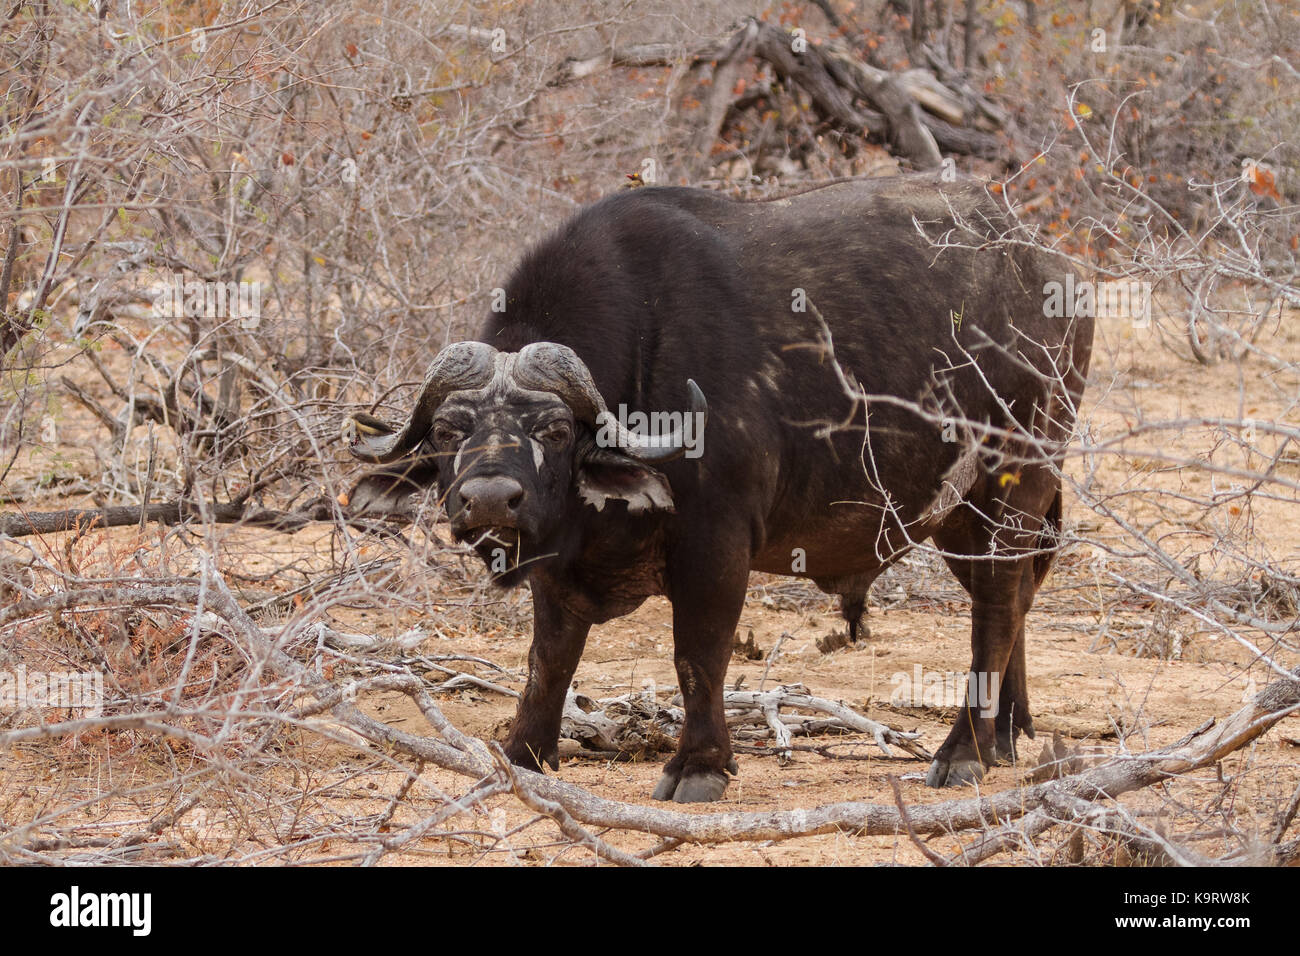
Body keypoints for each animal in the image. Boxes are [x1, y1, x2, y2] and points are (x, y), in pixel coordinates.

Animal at [345, 175, 1094, 801]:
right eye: (449, 430)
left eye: (555, 429)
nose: (489, 499)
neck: (644, 354)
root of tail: (1053, 270)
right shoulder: (560, 566)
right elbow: (548, 659)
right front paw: (523, 750)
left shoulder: (717, 547)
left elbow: (697, 656)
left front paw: (700, 765)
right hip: (956, 518)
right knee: (1014, 600)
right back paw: (1004, 736)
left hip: (1014, 485)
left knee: (996, 607)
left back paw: (963, 750)